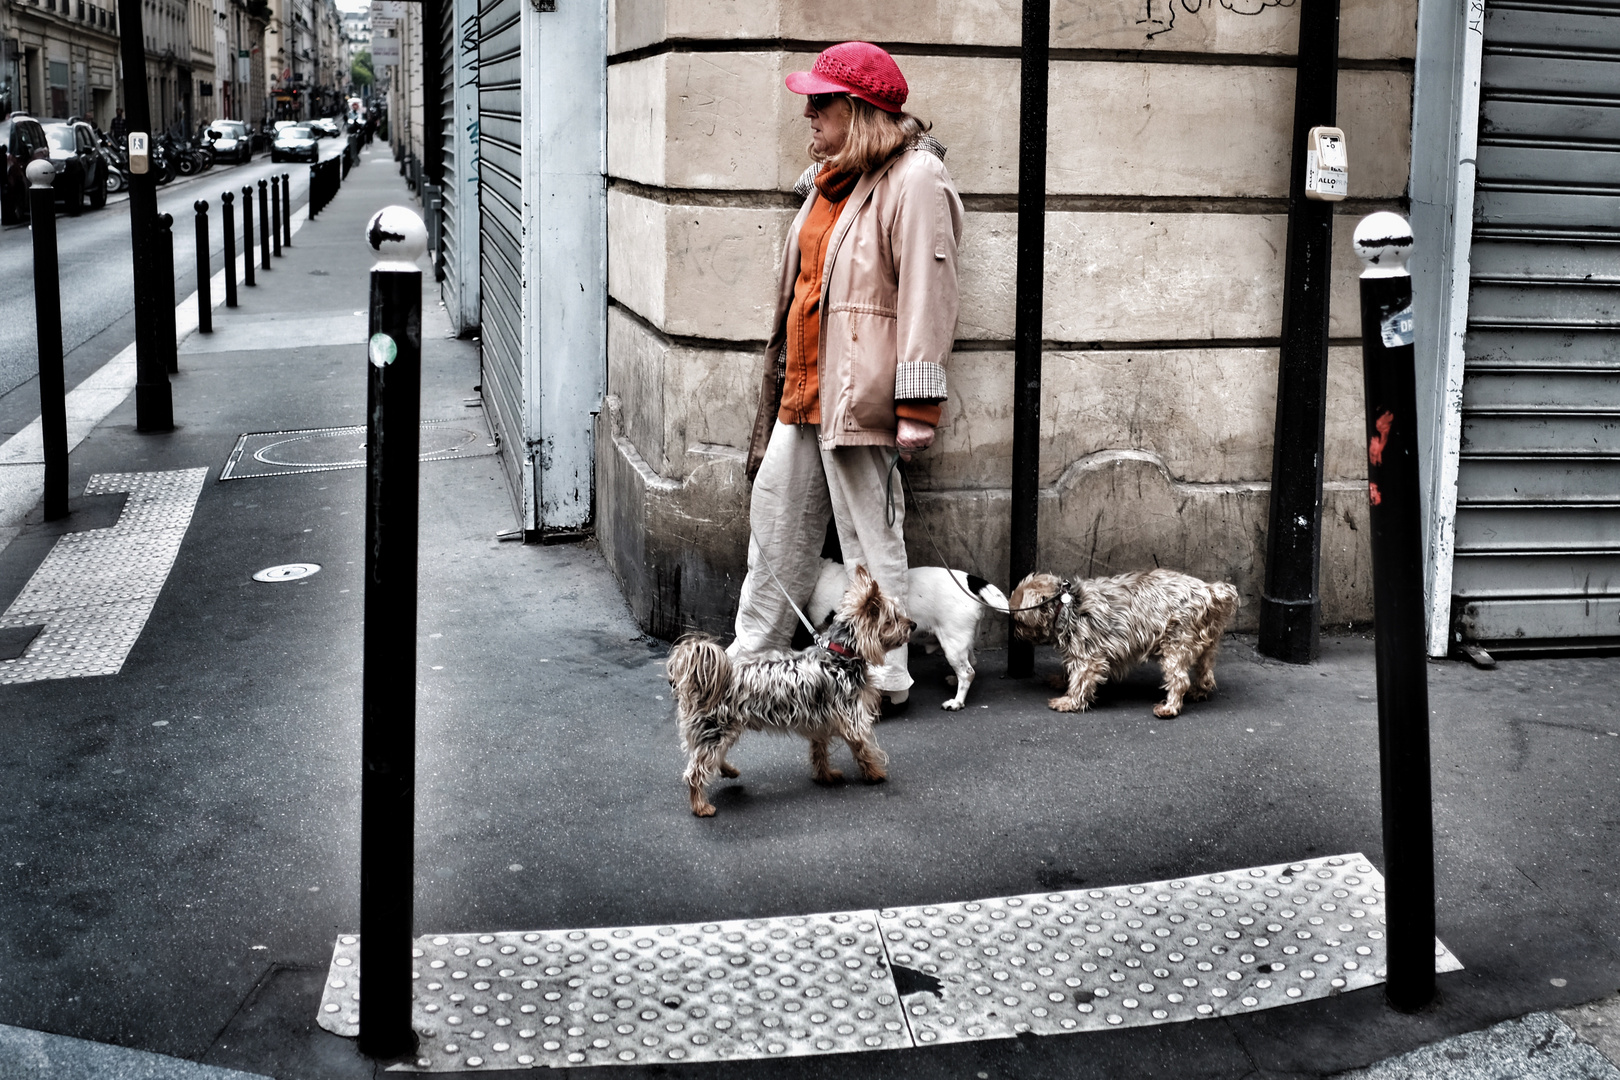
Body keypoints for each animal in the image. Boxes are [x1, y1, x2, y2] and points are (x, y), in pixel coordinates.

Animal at [806, 563, 1004, 712]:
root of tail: (972, 582)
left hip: (952, 642)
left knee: (967, 672)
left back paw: (957, 702)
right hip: (961, 641)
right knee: (970, 664)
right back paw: (954, 681)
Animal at [1010, 569, 1237, 722]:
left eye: (1019, 621)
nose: (1015, 633)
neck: (1065, 607)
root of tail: (1212, 592)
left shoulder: (1088, 655)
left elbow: (1081, 678)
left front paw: (1069, 701)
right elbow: (1071, 669)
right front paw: (1061, 680)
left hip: (1177, 641)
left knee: (1179, 679)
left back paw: (1169, 708)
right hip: (1205, 644)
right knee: (1205, 673)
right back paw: (1198, 692)